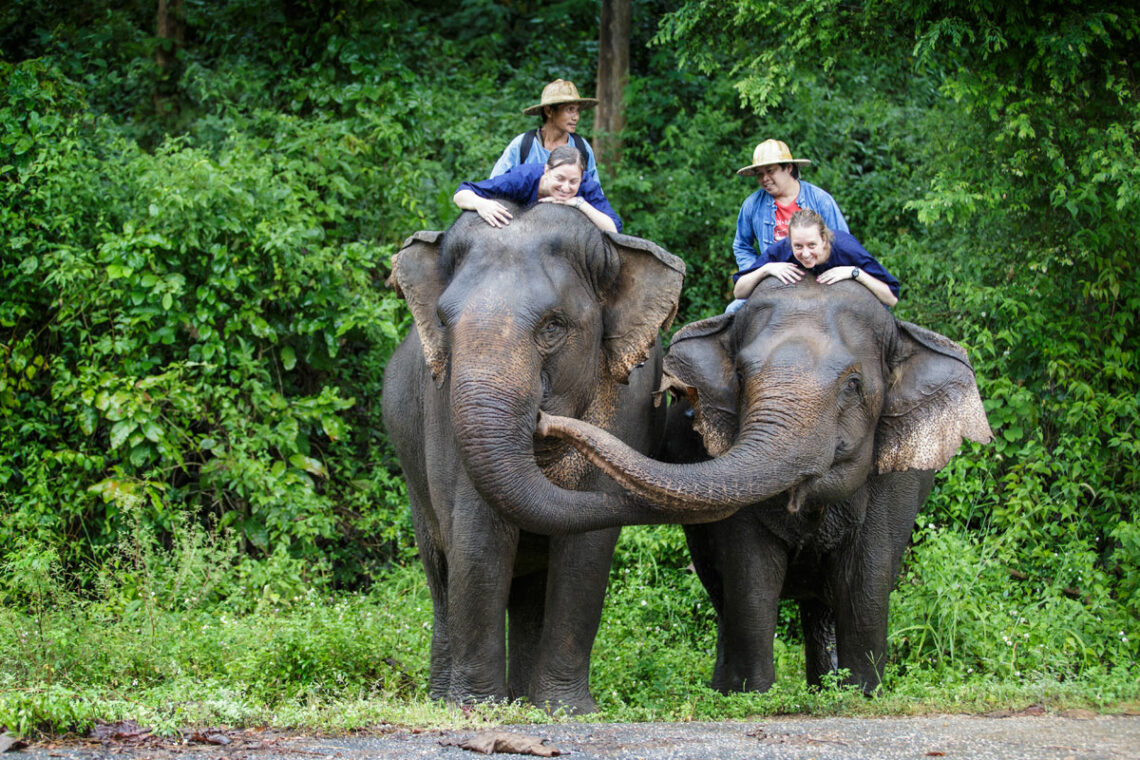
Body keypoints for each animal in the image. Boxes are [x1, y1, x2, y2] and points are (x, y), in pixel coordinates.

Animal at [381, 201, 697, 713]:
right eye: (445, 323)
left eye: (553, 326)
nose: (544, 420)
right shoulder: (442, 409)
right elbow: (477, 537)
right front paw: (476, 709)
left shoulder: (627, 407)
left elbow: (586, 553)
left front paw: (569, 711)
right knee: (441, 575)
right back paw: (447, 700)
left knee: (530, 590)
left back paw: (526, 702)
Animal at [537, 276, 992, 694]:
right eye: (740, 375)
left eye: (853, 384)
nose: (543, 421)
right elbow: (750, 571)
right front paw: (752, 696)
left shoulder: (898, 479)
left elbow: (867, 575)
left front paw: (864, 695)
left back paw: (825, 689)